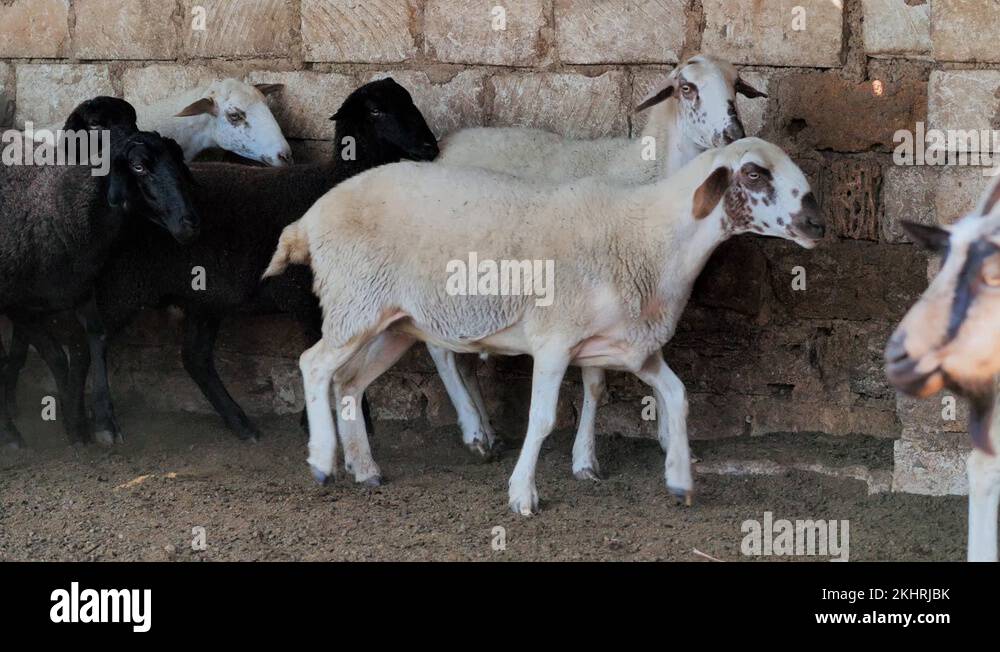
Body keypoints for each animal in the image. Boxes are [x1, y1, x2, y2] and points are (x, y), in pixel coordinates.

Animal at [0, 124, 200, 448]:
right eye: (138, 166)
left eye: (177, 163)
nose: (190, 223)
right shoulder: (16, 302)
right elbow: (45, 356)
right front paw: (10, 432)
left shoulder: (78, 288)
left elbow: (93, 339)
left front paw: (91, 422)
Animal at [33, 78, 438, 449]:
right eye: (377, 111)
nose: (430, 147)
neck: (333, 183)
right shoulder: (309, 300)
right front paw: (341, 424)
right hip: (122, 286)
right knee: (86, 343)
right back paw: (81, 424)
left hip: (203, 296)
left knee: (194, 358)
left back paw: (240, 424)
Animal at [263, 137, 826, 514]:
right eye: (753, 174)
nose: (817, 224)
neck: (649, 237)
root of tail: (309, 219)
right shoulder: (555, 341)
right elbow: (542, 419)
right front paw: (522, 494)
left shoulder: (631, 346)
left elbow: (677, 395)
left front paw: (681, 478)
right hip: (354, 303)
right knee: (314, 366)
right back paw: (323, 460)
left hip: (391, 323)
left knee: (348, 384)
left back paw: (365, 468)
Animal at [432, 54, 768, 480]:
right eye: (686, 88)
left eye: (737, 84)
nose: (732, 133)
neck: (650, 173)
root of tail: (447, 146)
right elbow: (595, 386)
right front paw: (584, 459)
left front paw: (670, 442)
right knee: (440, 350)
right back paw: (474, 432)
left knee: (464, 357)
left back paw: (487, 433)